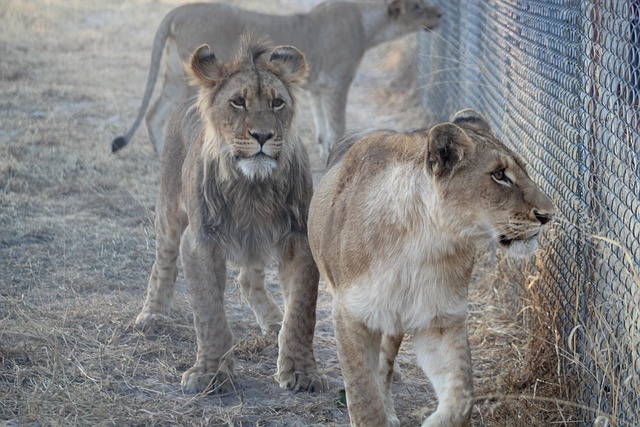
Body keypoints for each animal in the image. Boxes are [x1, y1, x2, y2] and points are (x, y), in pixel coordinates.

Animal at [111, 0, 442, 157]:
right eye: (418, 7)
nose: (439, 14)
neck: (367, 23)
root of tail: (177, 11)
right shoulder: (338, 82)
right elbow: (338, 125)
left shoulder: (318, 89)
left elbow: (323, 128)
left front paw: (326, 151)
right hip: (190, 78)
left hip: (174, 73)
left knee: (154, 113)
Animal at [134, 35, 328, 394]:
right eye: (238, 102)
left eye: (277, 103)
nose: (263, 136)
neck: (252, 189)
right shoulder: (200, 241)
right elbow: (209, 312)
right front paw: (210, 374)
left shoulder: (299, 239)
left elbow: (301, 312)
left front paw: (301, 372)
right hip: (169, 211)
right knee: (163, 263)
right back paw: (152, 316)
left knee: (248, 279)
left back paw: (273, 321)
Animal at [308, 109, 555, 426]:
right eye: (499, 175)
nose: (548, 214)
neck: (422, 245)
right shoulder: (350, 316)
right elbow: (364, 399)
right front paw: (374, 413)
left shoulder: (441, 319)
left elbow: (461, 397)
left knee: (385, 367)